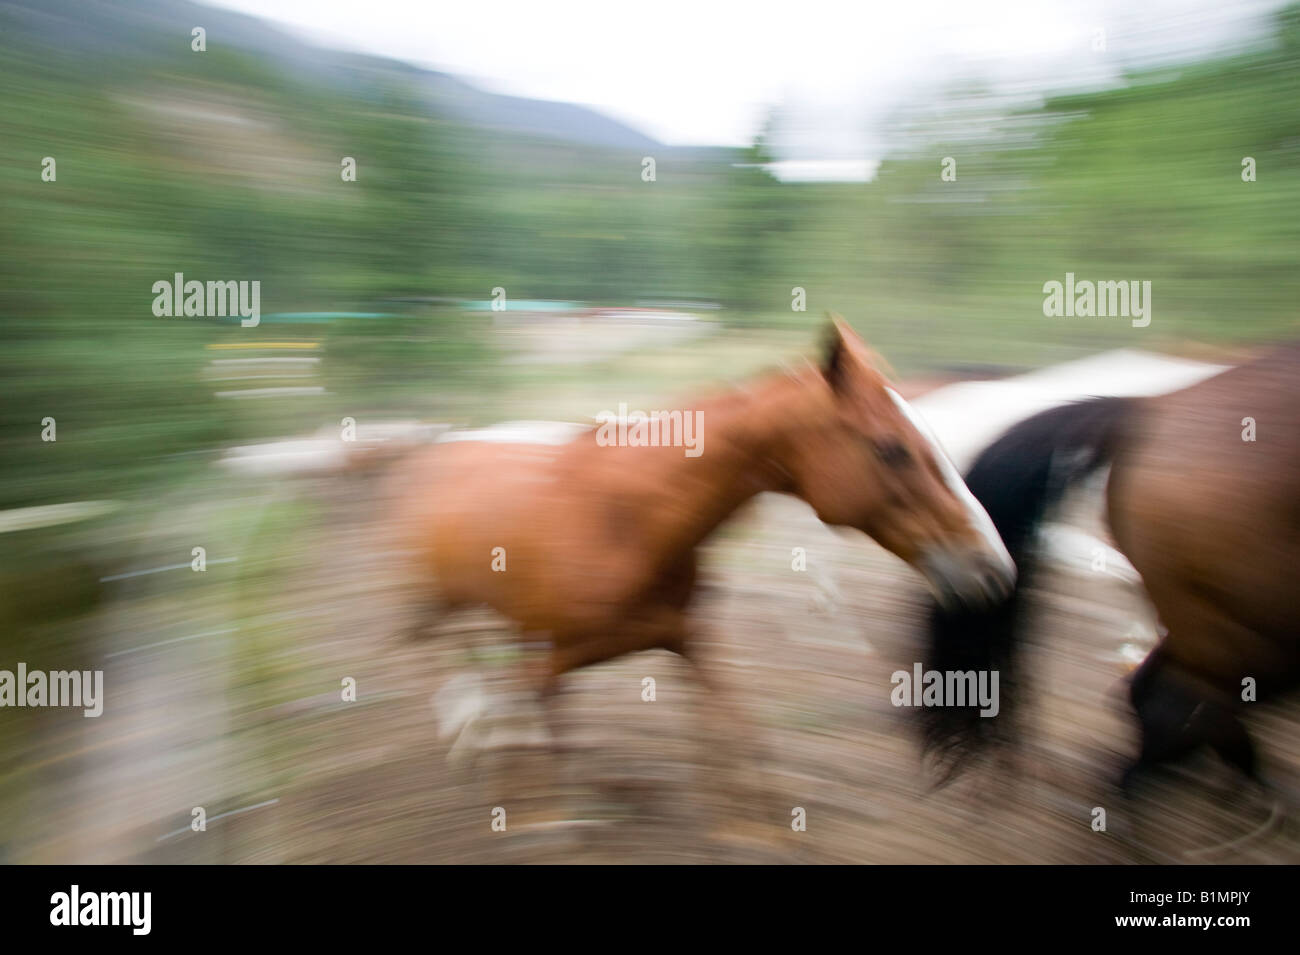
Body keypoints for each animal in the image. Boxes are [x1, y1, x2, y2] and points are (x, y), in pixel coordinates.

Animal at [386, 317, 1016, 751]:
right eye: (892, 450)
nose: (995, 567)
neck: (624, 526)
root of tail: (436, 448)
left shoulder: (687, 642)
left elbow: (733, 747)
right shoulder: (554, 659)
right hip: (441, 609)